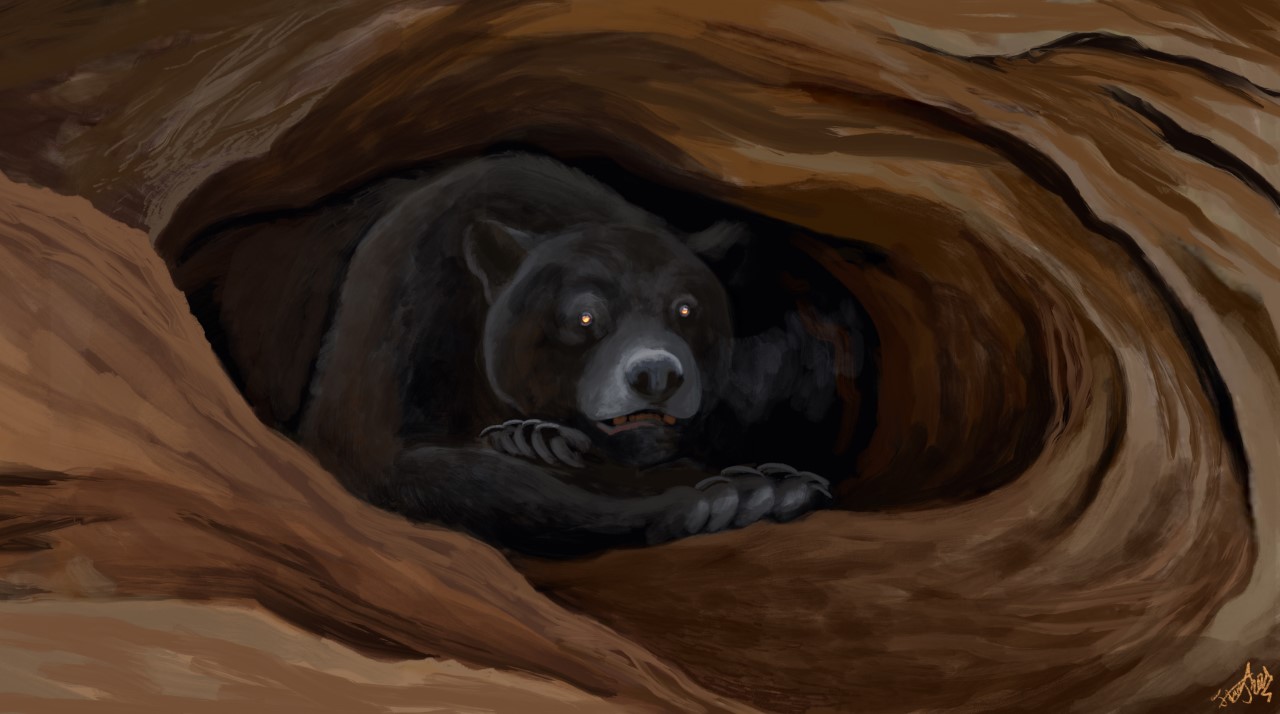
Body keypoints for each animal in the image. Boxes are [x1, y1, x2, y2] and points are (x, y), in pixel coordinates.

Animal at [191, 152, 860, 557]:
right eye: (584, 317)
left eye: (687, 310)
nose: (654, 373)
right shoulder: (402, 305)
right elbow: (397, 461)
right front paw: (738, 496)